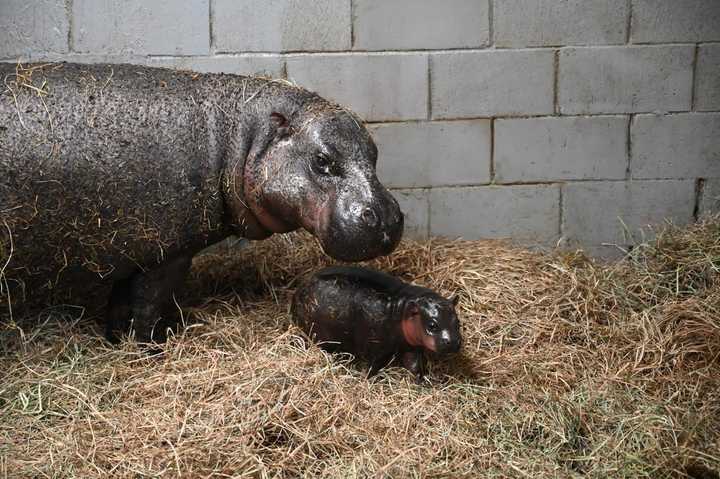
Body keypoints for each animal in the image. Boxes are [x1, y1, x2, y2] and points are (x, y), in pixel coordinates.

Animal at [0, 62, 403, 343]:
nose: (386, 217)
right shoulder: (165, 254)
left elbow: (120, 305)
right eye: (322, 160)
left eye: (375, 152)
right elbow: (145, 307)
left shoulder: (133, 252)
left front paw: (116, 341)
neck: (240, 138)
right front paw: (150, 348)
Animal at [291, 266, 462, 382]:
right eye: (432, 325)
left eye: (458, 322)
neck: (403, 309)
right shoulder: (377, 348)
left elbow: (414, 365)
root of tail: (299, 289)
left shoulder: (410, 346)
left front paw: (423, 381)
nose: (454, 341)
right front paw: (366, 380)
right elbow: (373, 366)